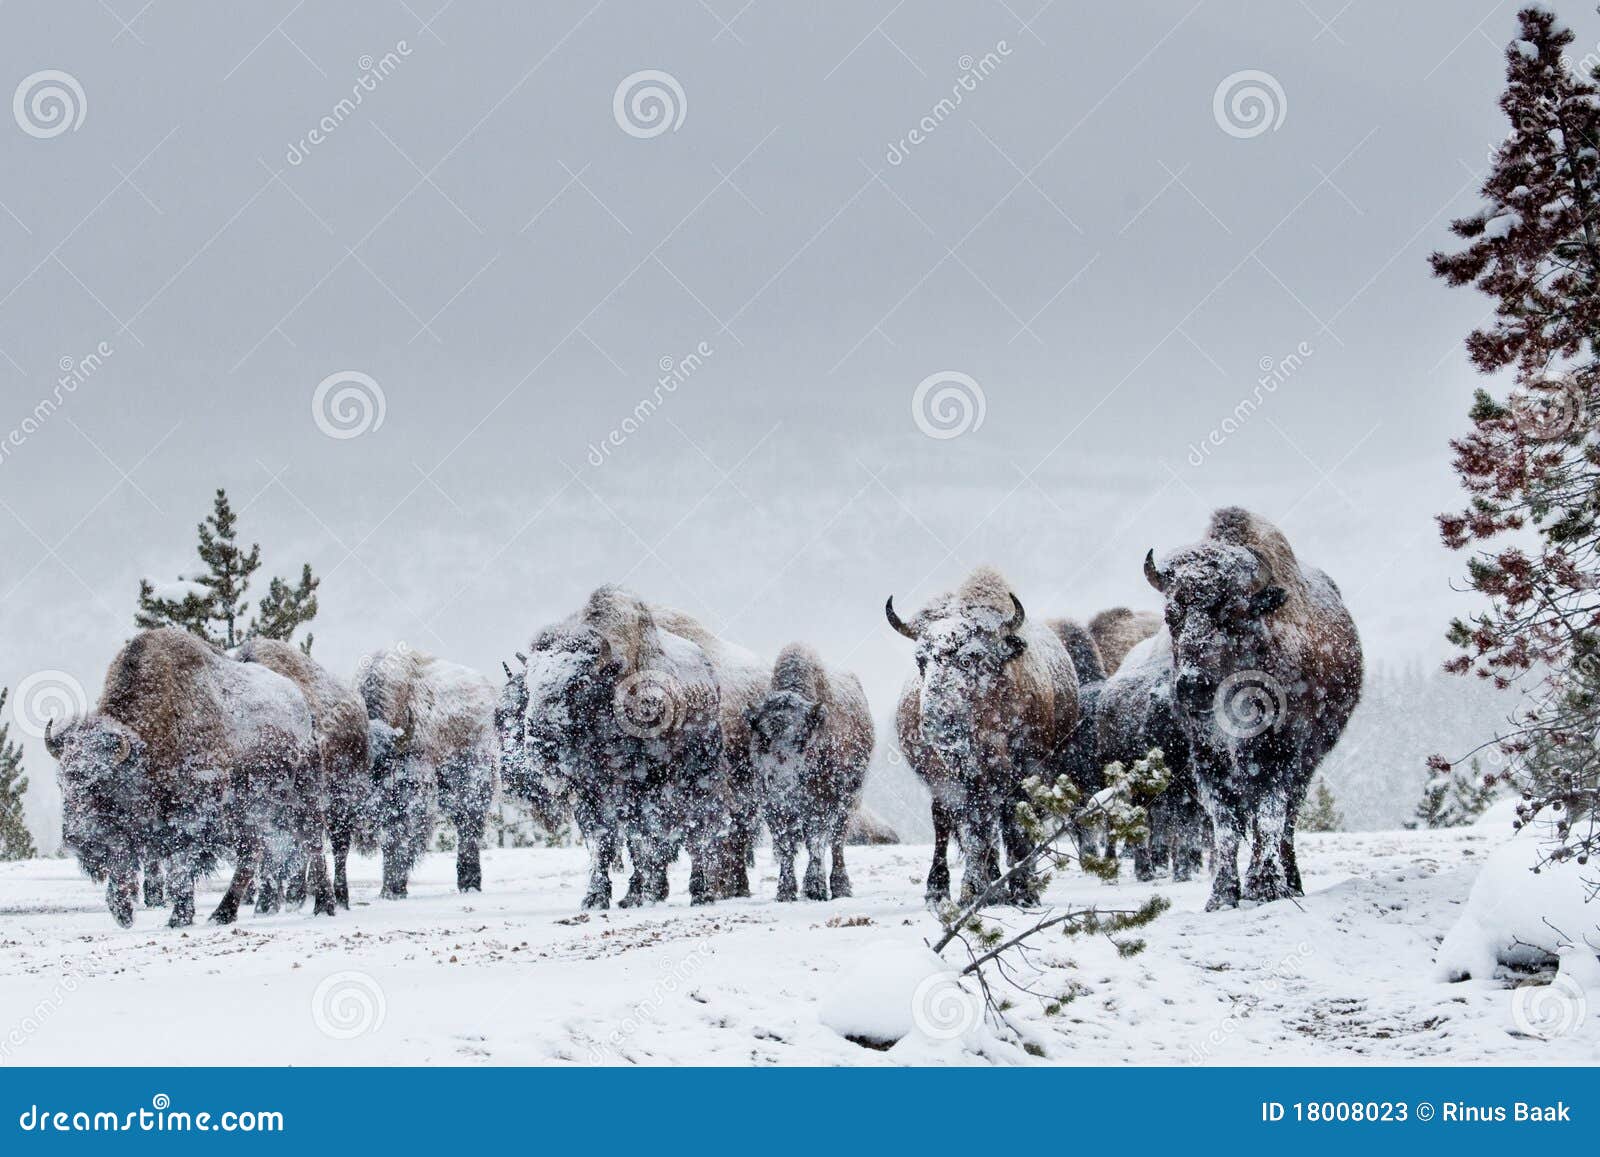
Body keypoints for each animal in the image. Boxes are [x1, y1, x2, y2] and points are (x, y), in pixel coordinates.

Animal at [1144, 507, 1362, 909]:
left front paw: (1265, 887)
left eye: (1231, 612)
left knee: (1287, 818)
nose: (1192, 685)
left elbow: (1268, 816)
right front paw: (1221, 895)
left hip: (1310, 759)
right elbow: (1226, 825)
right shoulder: (1208, 759)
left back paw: (1290, 883)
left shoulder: (1279, 753)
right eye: (1171, 615)